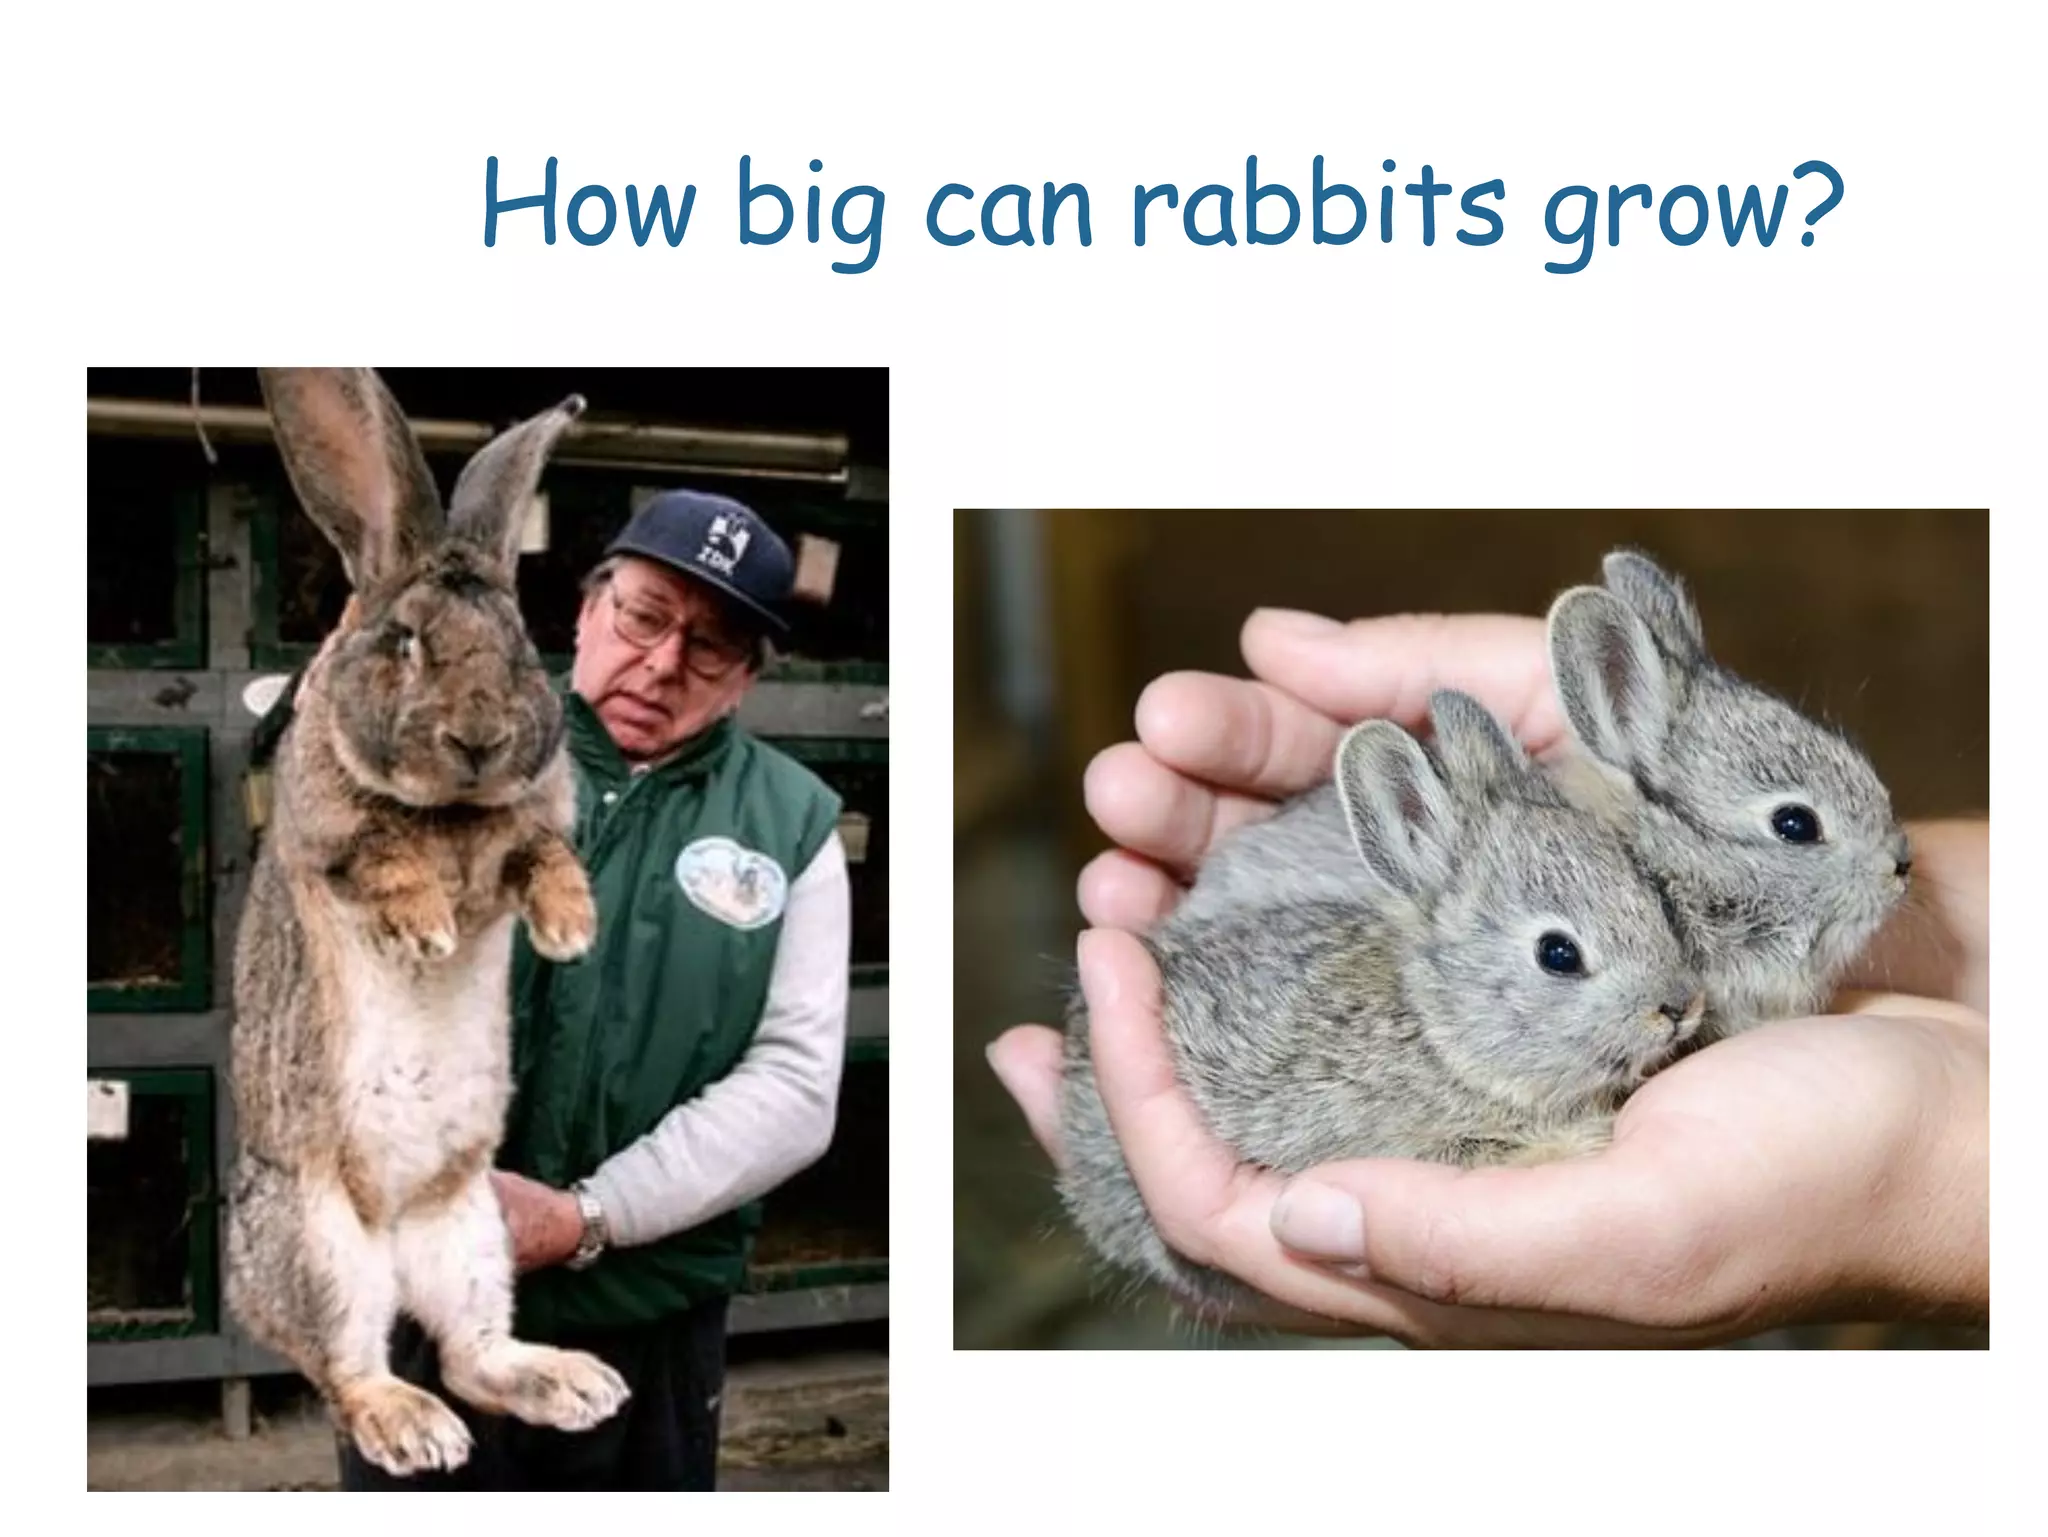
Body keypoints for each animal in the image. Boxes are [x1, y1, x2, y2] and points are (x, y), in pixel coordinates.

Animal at [225, 369, 628, 1477]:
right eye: (403, 642)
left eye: (525, 648)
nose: (481, 737)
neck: (452, 810)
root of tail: (400, 1229)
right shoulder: (330, 838)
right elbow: (381, 861)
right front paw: (425, 930)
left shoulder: (525, 833)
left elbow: (542, 857)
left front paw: (569, 929)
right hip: (323, 1241)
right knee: (352, 1367)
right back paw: (411, 1426)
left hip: (474, 1233)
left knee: (470, 1354)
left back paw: (572, 1381)